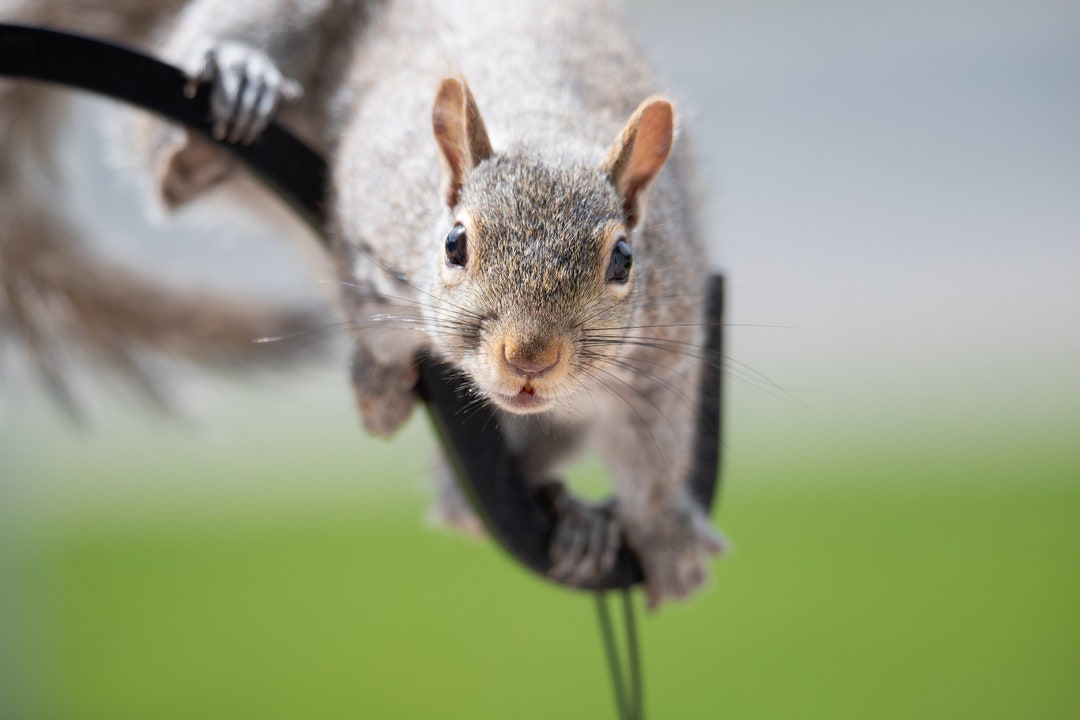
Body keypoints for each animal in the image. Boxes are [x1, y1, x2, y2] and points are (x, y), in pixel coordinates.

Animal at [2, 0, 725, 607]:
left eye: (624, 260)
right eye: (454, 243)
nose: (529, 358)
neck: (546, 123)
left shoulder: (664, 351)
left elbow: (656, 450)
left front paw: (662, 531)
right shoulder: (367, 230)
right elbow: (368, 316)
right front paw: (379, 386)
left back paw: (572, 522)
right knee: (166, 151)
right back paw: (228, 94)